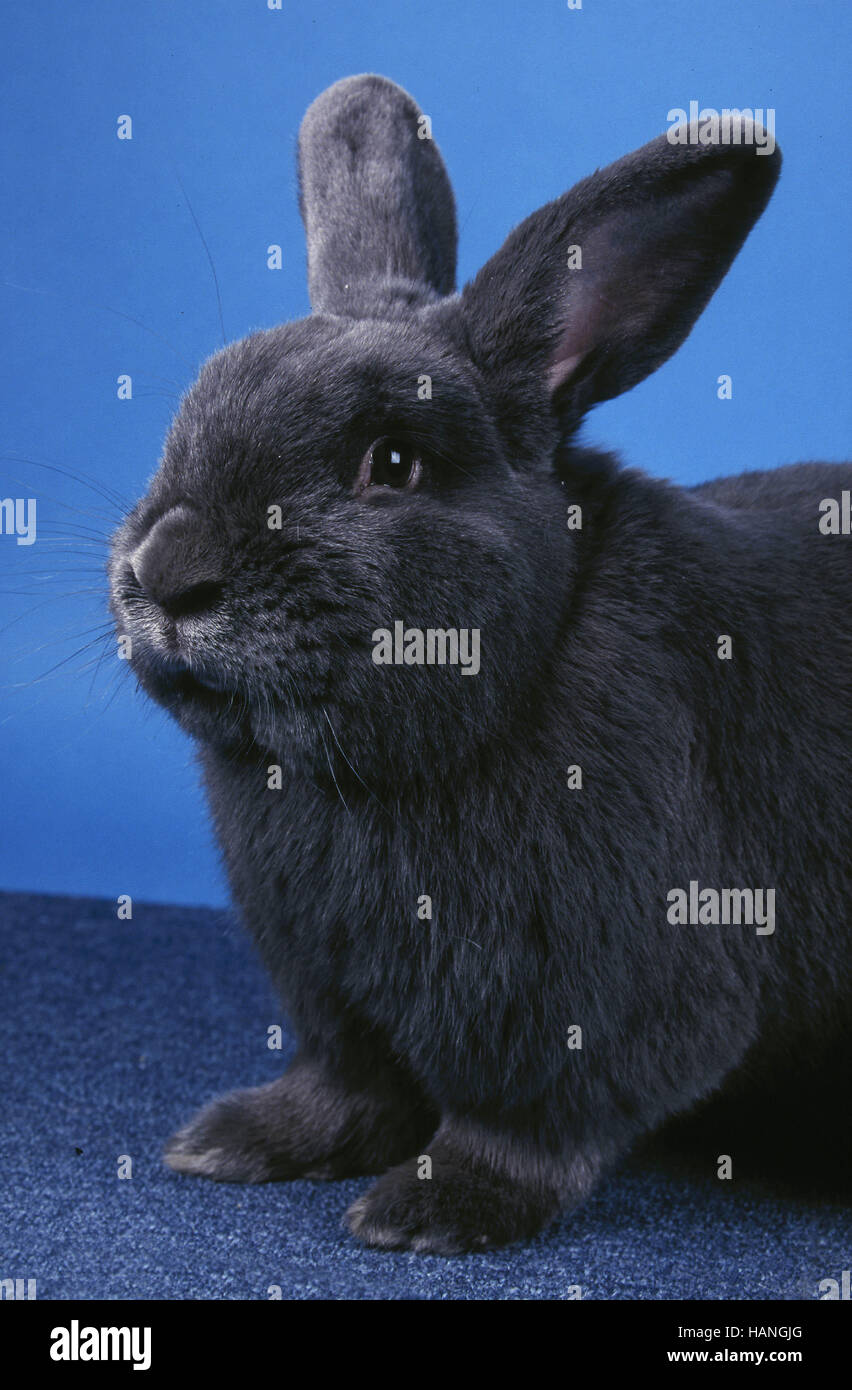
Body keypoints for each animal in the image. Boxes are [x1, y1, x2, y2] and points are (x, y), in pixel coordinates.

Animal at [108, 73, 851, 1254]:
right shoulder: (333, 1004)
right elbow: (343, 1088)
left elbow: (529, 1125)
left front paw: (429, 1210)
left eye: (395, 462)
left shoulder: (603, 992)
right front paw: (233, 1142)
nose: (166, 571)